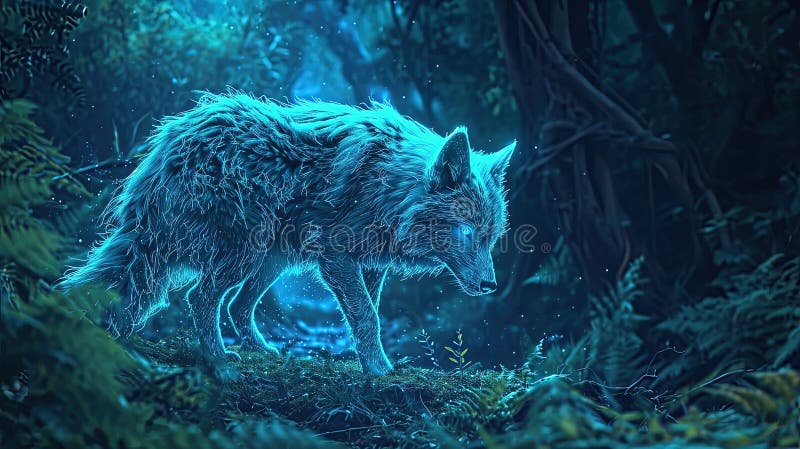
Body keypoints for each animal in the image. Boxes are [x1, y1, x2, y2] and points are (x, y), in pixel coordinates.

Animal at [60, 92, 515, 375]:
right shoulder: (336, 259)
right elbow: (366, 317)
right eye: (468, 233)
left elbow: (368, 317)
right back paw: (220, 362)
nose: (491, 286)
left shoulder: (369, 266)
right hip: (246, 253)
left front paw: (374, 364)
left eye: (490, 237)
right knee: (201, 298)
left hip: (270, 261)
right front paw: (379, 370)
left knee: (237, 307)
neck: (389, 184)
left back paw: (266, 353)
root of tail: (161, 154)